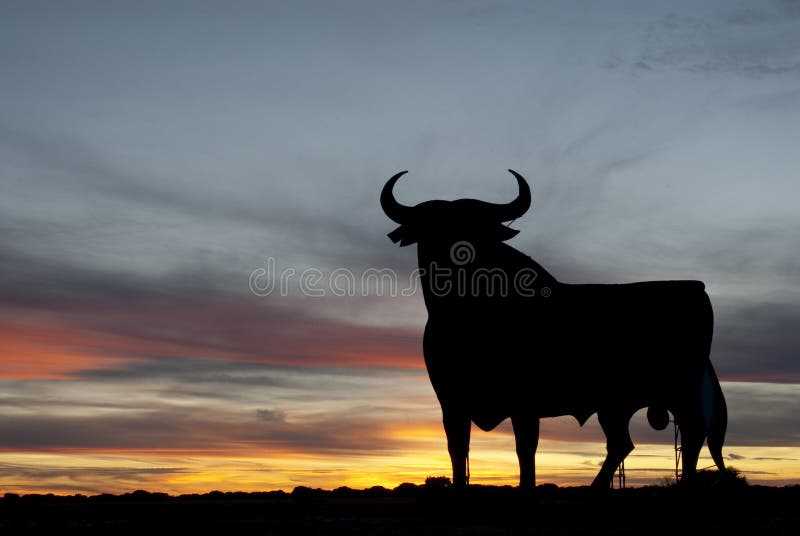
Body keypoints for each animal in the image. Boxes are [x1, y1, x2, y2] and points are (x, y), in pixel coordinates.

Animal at [381, 169, 727, 489]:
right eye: (430, 229)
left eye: (478, 231)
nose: (458, 255)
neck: (466, 316)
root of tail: (696, 288)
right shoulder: (452, 404)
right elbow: (458, 451)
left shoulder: (524, 403)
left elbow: (525, 450)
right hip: (616, 406)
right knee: (623, 443)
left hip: (682, 391)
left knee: (692, 435)